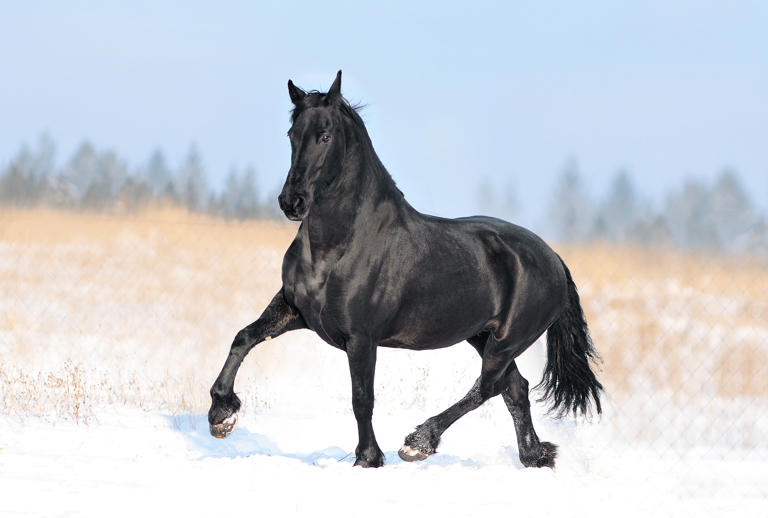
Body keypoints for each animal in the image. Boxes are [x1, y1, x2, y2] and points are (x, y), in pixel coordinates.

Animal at [208, 71, 602, 468]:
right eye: (291, 134)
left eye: (325, 135)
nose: (292, 202)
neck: (338, 247)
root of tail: (554, 259)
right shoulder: (294, 311)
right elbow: (244, 337)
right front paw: (221, 415)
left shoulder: (361, 337)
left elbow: (361, 397)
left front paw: (369, 458)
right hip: (481, 335)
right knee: (515, 389)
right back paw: (535, 455)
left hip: (508, 340)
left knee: (489, 386)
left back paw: (419, 442)